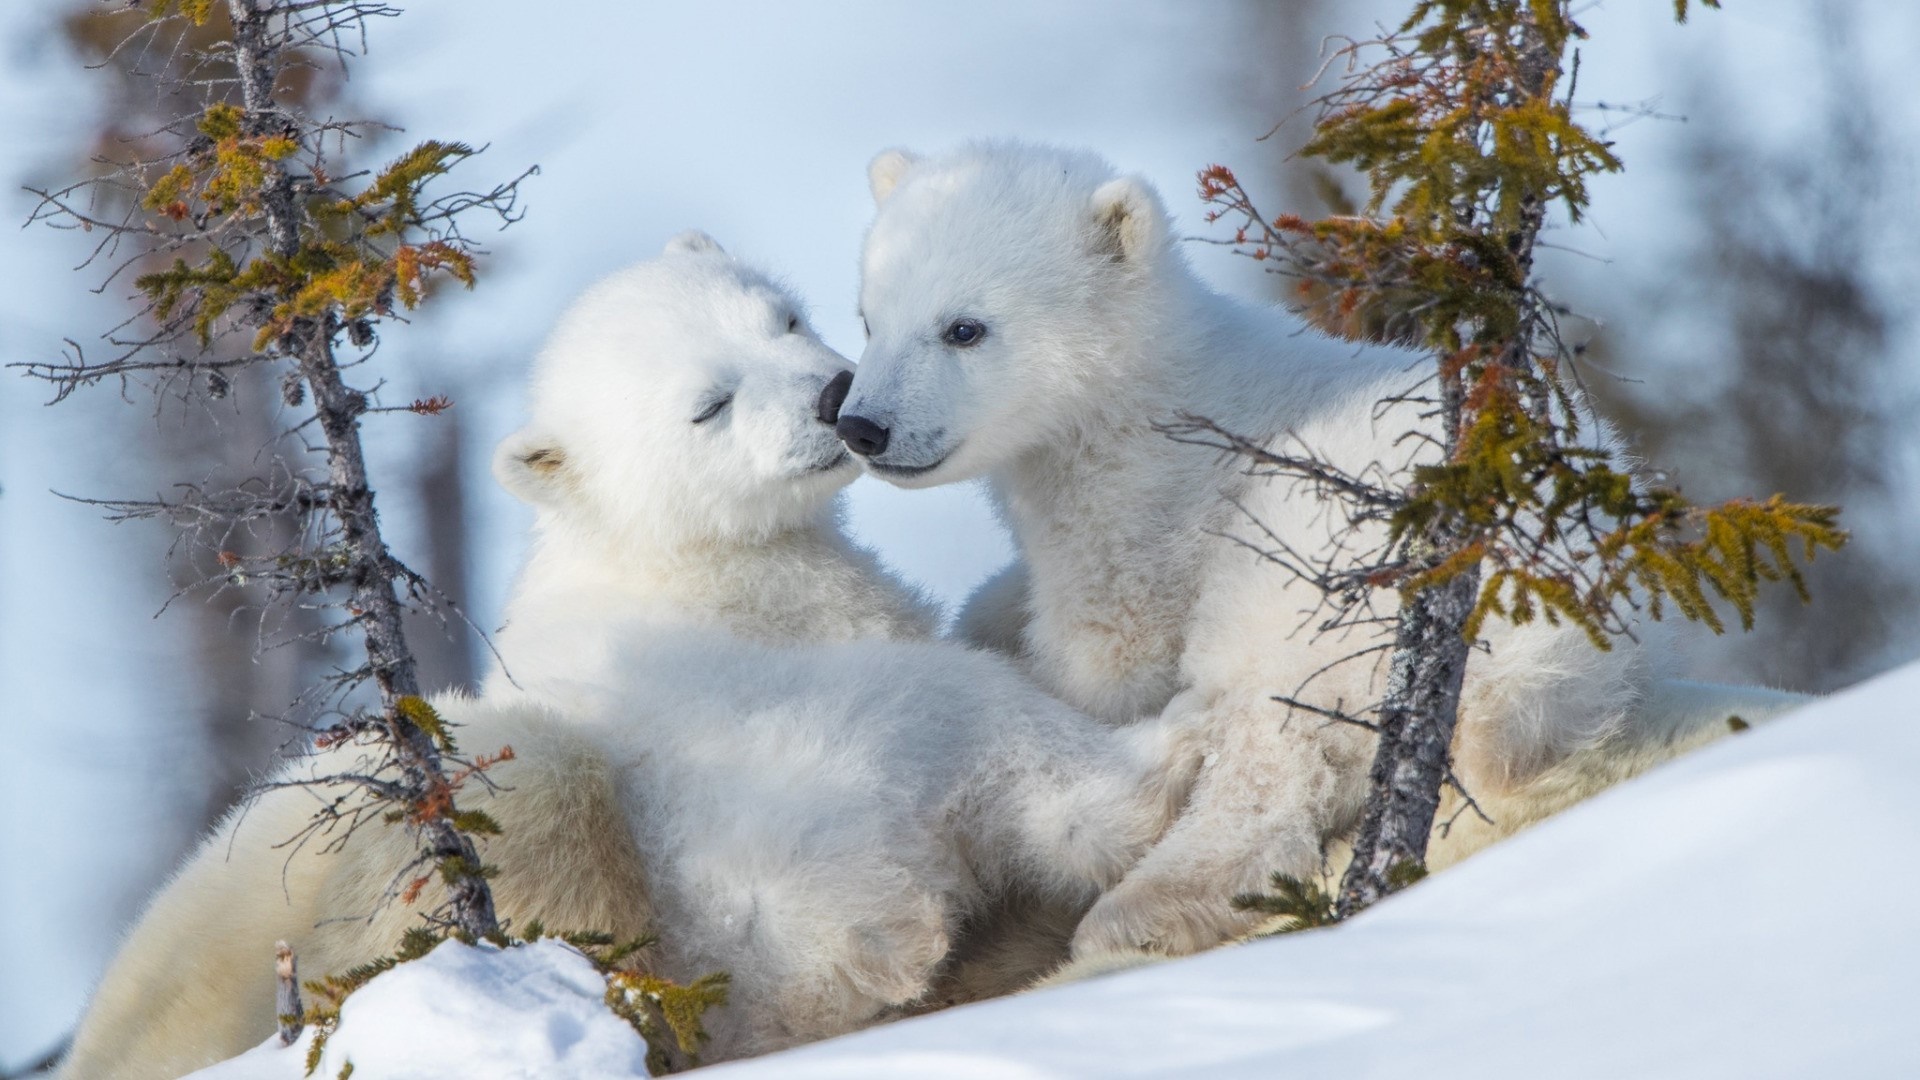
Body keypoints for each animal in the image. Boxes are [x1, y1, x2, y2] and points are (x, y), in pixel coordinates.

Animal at [58, 233, 1196, 1078]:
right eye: (709, 404)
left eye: (782, 316)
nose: (833, 396)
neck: (682, 566)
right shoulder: (757, 819)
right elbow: (929, 737)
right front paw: (1150, 761)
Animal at [836, 140, 1808, 961]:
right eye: (868, 317)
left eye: (965, 328)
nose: (862, 425)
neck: (1151, 404)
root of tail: (1549, 644)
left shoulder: (1149, 514)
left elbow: (1114, 657)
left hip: (1330, 554)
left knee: (1268, 735)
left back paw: (1141, 909)